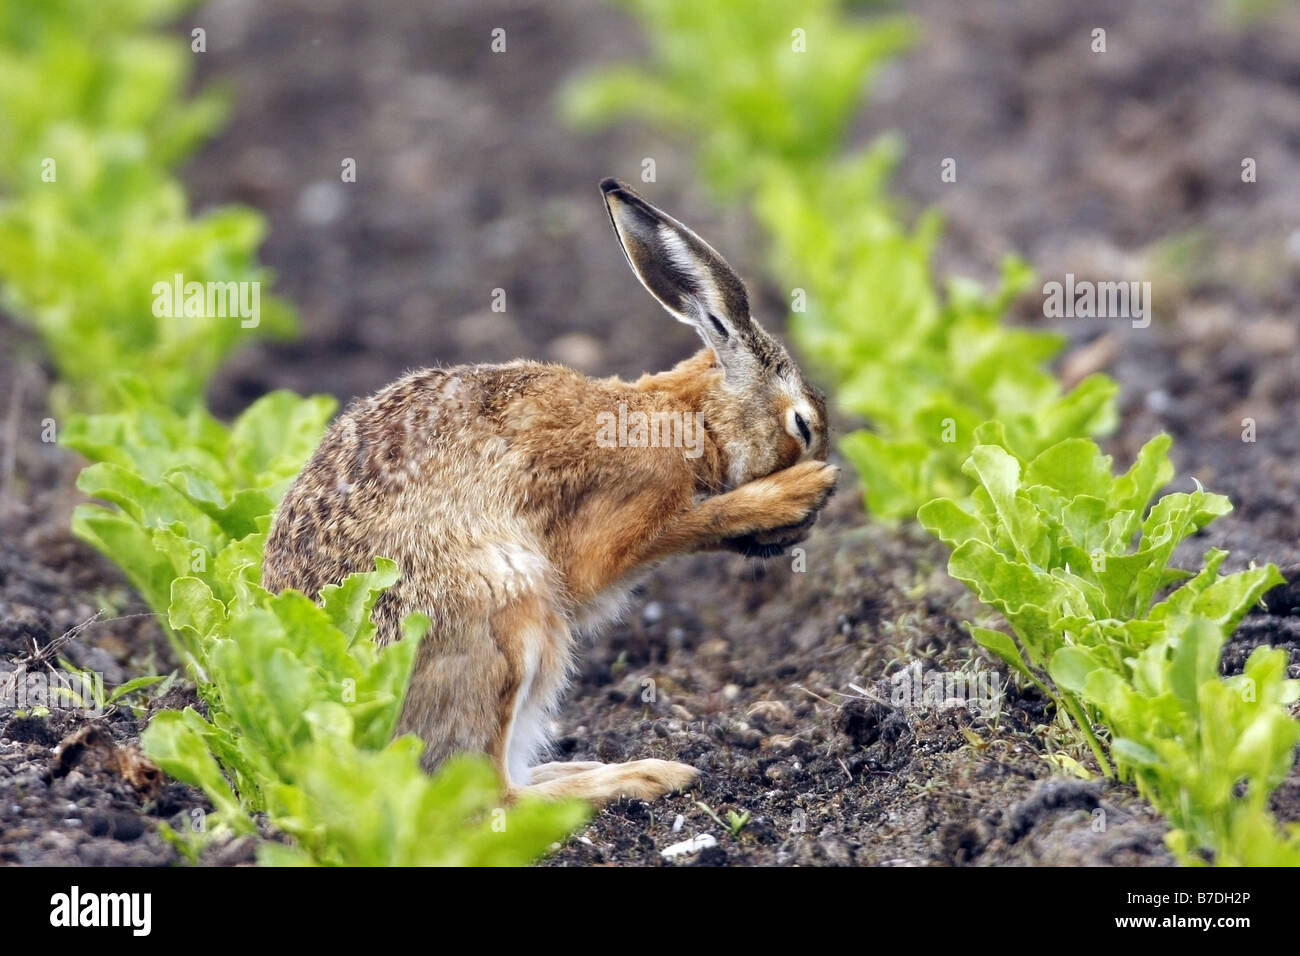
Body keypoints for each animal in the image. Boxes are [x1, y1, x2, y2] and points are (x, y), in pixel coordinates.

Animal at [262, 178, 837, 805]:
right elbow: (669, 533)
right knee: (491, 793)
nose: (802, 530)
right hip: (508, 612)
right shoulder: (615, 516)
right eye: (803, 426)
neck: (685, 416)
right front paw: (797, 493)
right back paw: (643, 776)